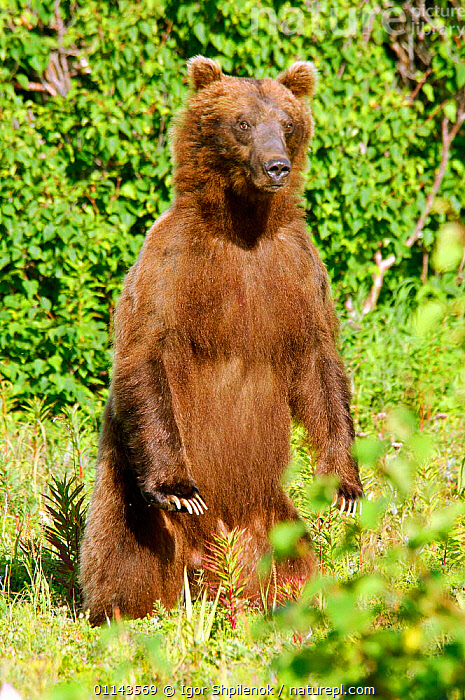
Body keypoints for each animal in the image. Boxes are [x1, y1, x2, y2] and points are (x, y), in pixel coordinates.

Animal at [79, 56, 363, 626]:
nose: (276, 166)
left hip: (268, 515)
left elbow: (320, 366)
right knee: (122, 547)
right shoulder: (173, 265)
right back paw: (119, 611)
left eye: (287, 124)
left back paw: (289, 602)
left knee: (293, 556)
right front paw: (179, 489)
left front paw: (344, 486)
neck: (244, 228)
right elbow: (147, 351)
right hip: (129, 488)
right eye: (243, 123)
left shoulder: (296, 272)